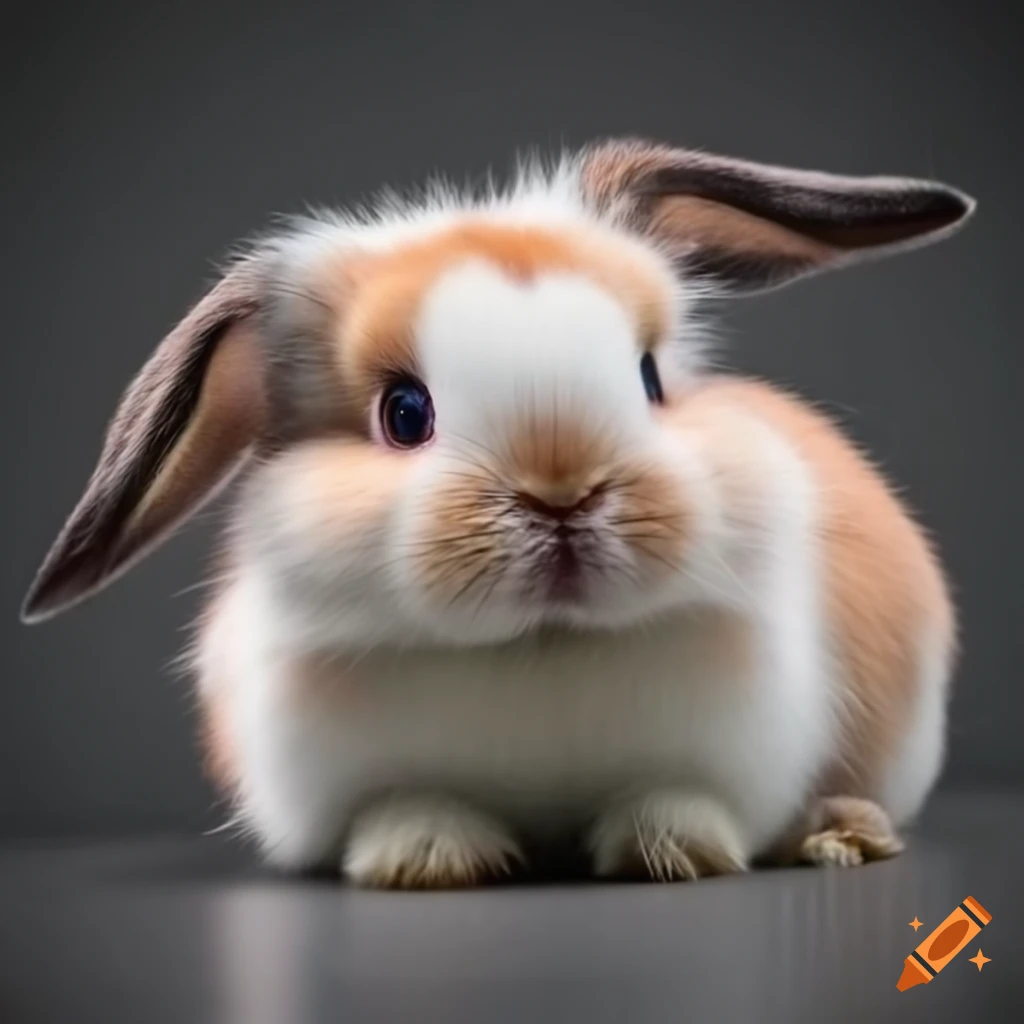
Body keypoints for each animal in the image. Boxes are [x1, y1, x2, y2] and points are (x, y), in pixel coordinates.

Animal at [22, 138, 974, 887]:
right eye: (405, 415)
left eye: (650, 379)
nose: (562, 495)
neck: (539, 645)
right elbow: (410, 808)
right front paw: (428, 860)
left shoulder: (727, 755)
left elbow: (678, 801)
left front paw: (672, 853)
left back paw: (841, 833)